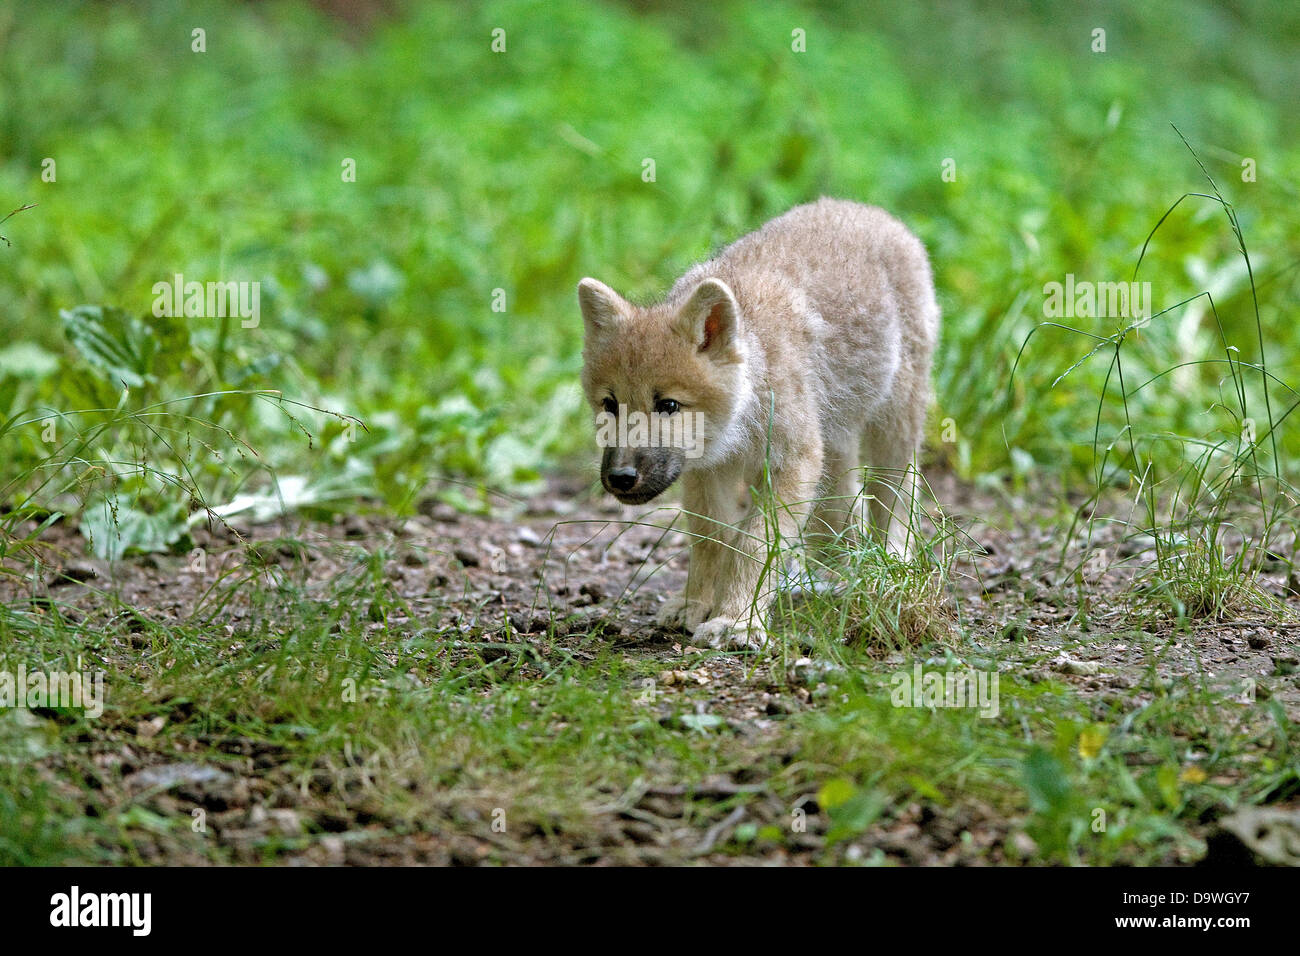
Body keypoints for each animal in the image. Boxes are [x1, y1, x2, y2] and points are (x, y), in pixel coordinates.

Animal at [578, 198, 939, 648]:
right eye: (610, 405)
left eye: (669, 405)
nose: (621, 477)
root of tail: (868, 210)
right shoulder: (708, 472)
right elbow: (712, 541)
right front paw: (697, 603)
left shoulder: (793, 462)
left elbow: (754, 544)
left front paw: (738, 621)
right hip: (833, 441)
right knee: (842, 511)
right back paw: (839, 571)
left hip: (893, 423)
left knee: (897, 492)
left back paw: (888, 568)